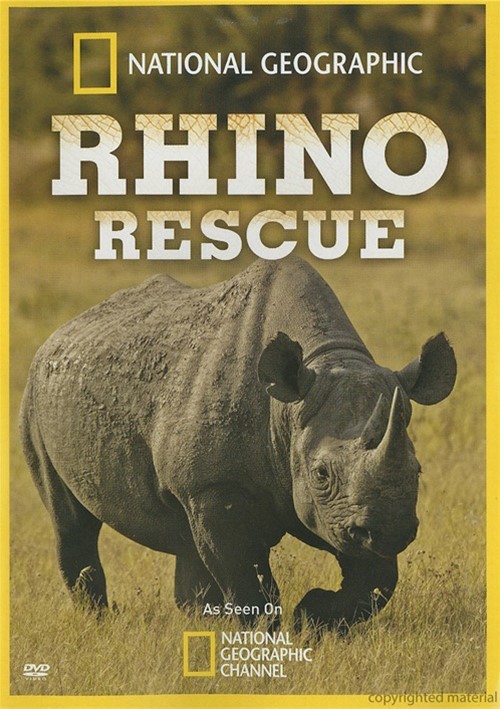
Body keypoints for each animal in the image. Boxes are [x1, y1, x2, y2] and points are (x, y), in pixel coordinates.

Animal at [20, 256, 456, 633]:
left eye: (417, 469)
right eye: (321, 474)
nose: (390, 532)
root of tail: (58, 334)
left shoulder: (353, 508)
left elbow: (376, 582)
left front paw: (311, 617)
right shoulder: (213, 487)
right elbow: (245, 577)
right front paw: (268, 637)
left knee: (184, 539)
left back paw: (197, 622)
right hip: (36, 395)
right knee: (70, 521)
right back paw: (100, 621)